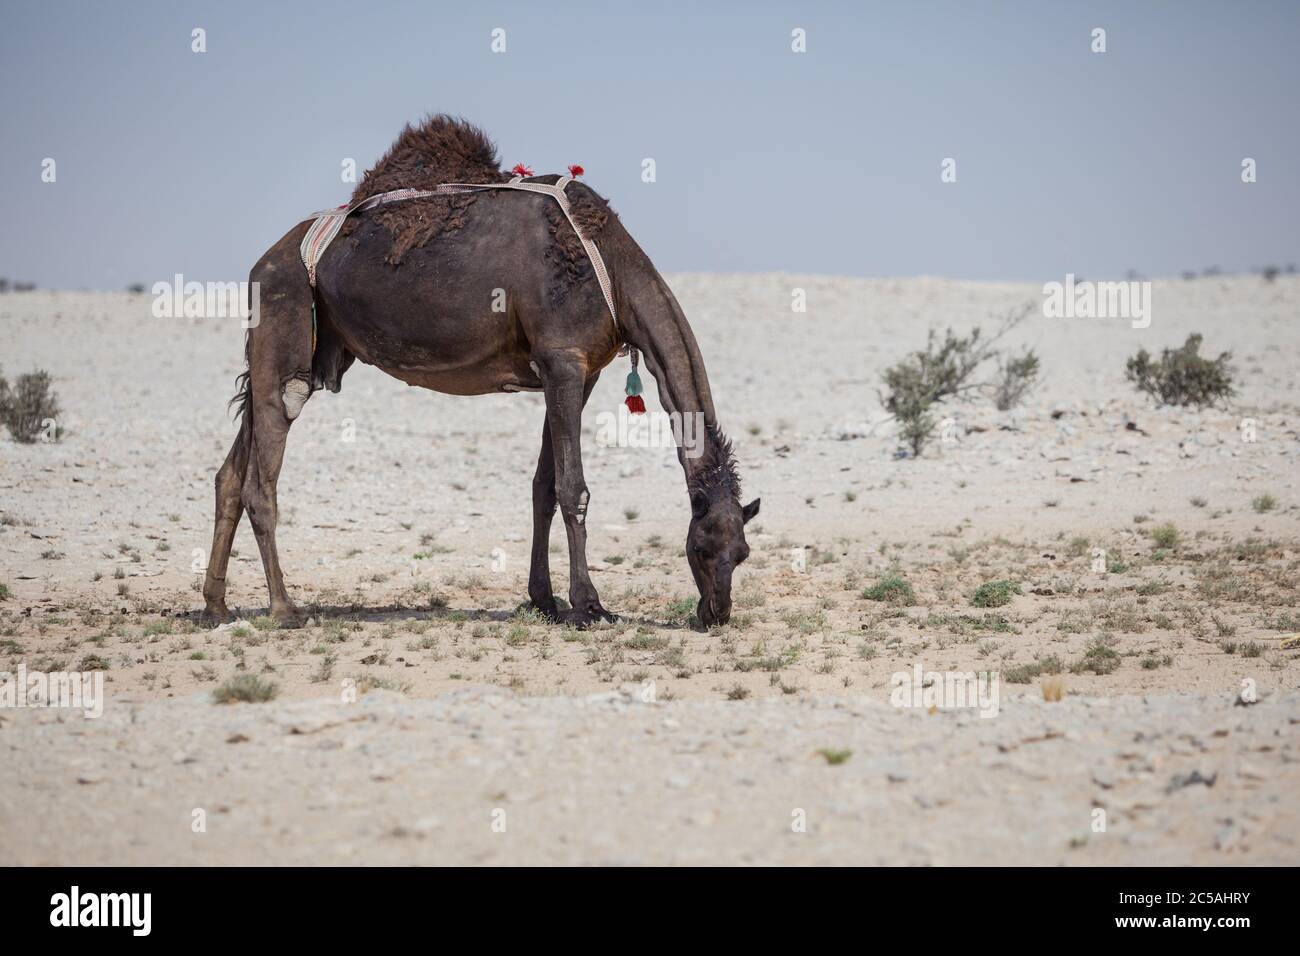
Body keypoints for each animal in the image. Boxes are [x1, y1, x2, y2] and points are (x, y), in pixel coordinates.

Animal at [201, 116, 758, 630]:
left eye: (742, 553)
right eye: (702, 547)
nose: (716, 613)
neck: (612, 271)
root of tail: (261, 263)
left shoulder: (579, 371)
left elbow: (543, 486)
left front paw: (544, 601)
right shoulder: (563, 359)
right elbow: (573, 489)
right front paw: (588, 606)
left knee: (232, 470)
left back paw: (215, 606)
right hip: (286, 311)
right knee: (266, 462)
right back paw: (283, 608)